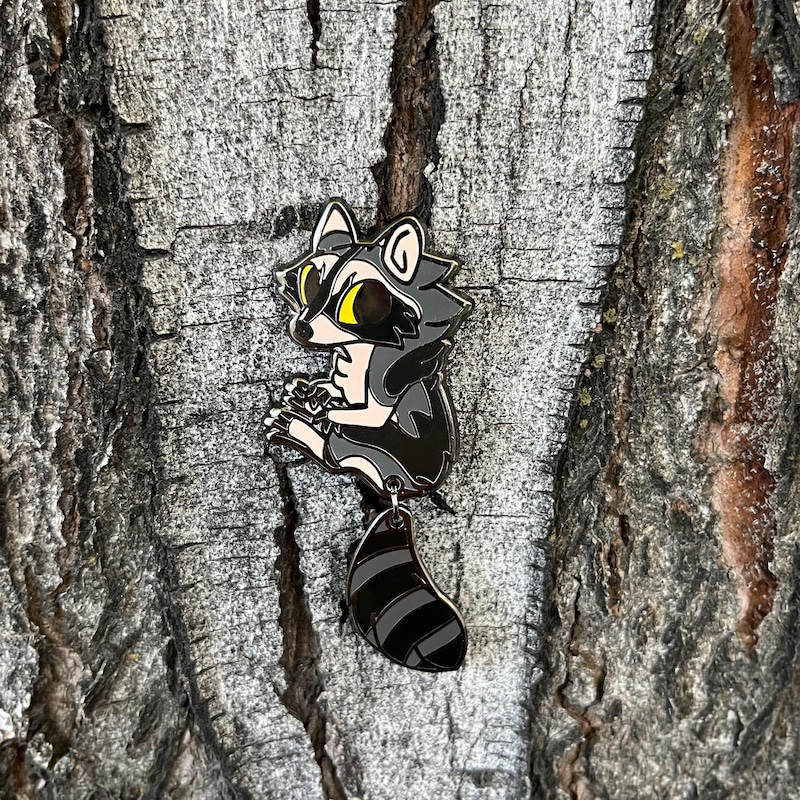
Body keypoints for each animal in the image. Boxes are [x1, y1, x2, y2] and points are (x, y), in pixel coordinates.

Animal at [265, 199, 471, 499]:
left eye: (359, 300)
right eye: (309, 283)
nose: (301, 328)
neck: (362, 349)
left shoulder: (382, 389)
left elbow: (354, 415)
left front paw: (314, 411)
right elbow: (335, 387)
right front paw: (313, 392)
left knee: (334, 450)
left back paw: (294, 427)